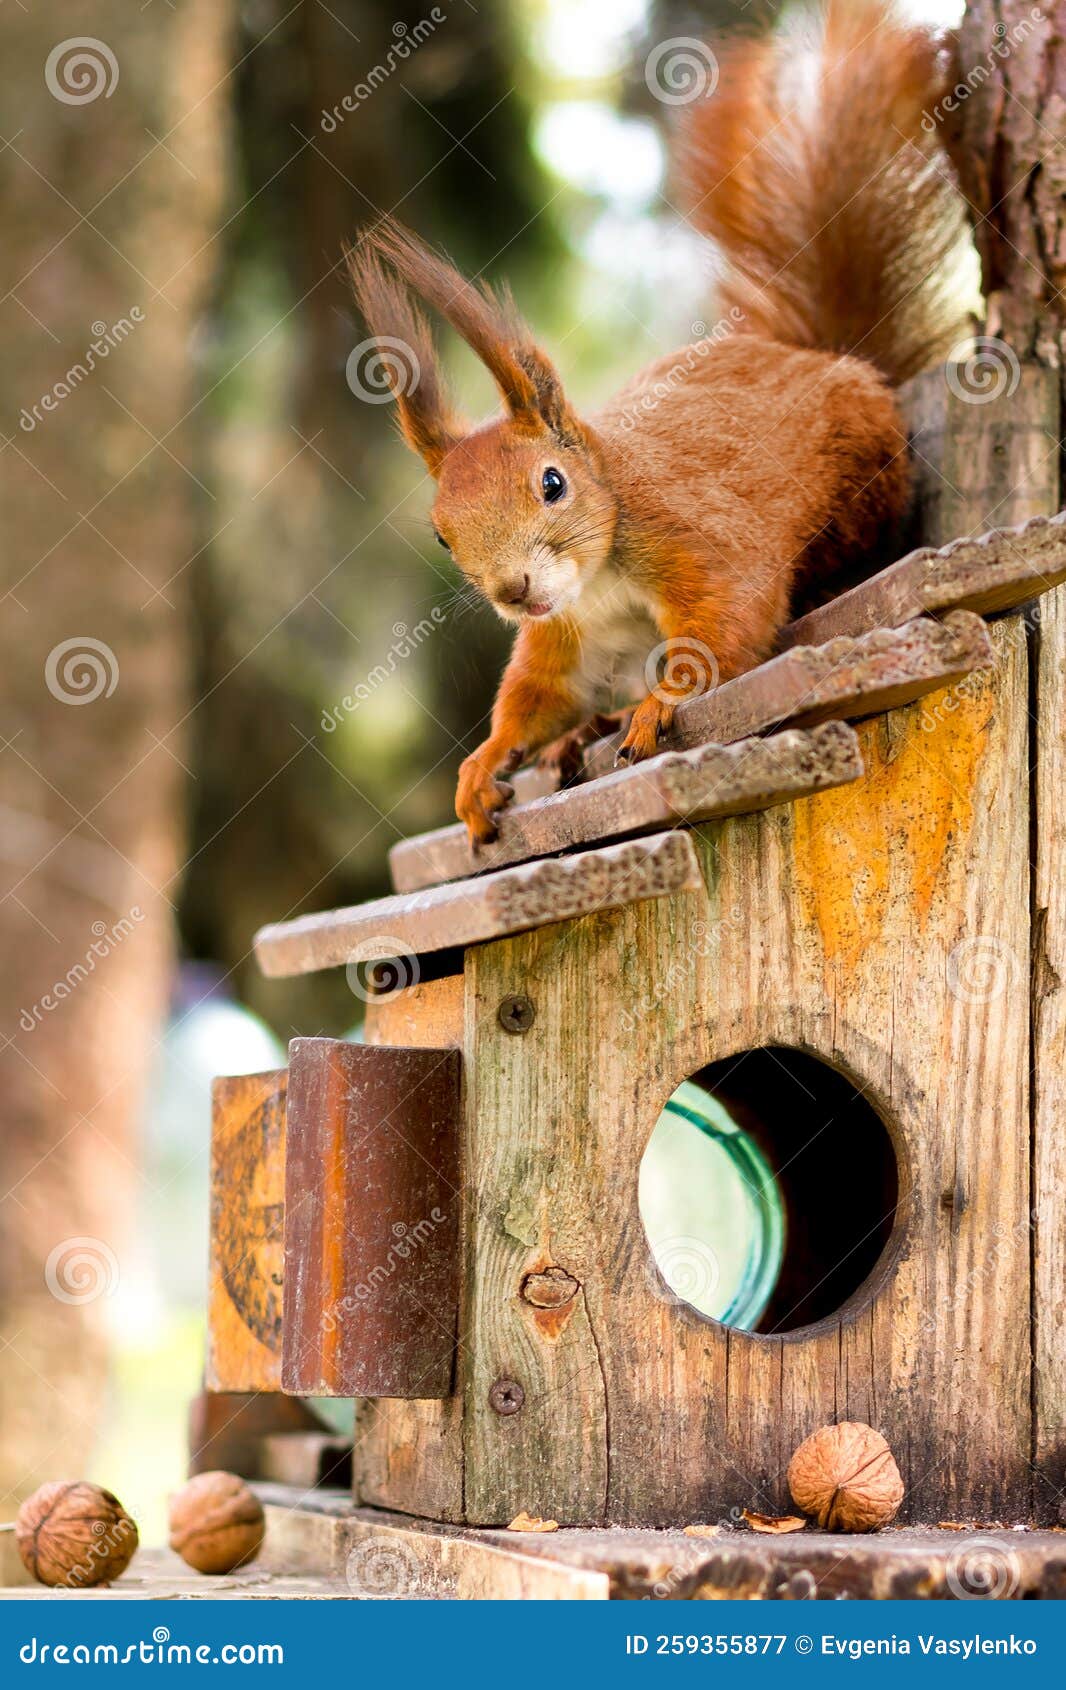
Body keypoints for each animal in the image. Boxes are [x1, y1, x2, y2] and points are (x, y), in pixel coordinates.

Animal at [347, 0, 970, 846]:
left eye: (552, 484)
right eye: (441, 535)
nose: (513, 590)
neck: (599, 576)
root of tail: (833, 359)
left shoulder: (692, 536)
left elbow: (728, 622)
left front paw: (658, 707)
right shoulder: (566, 636)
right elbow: (539, 699)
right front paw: (483, 766)